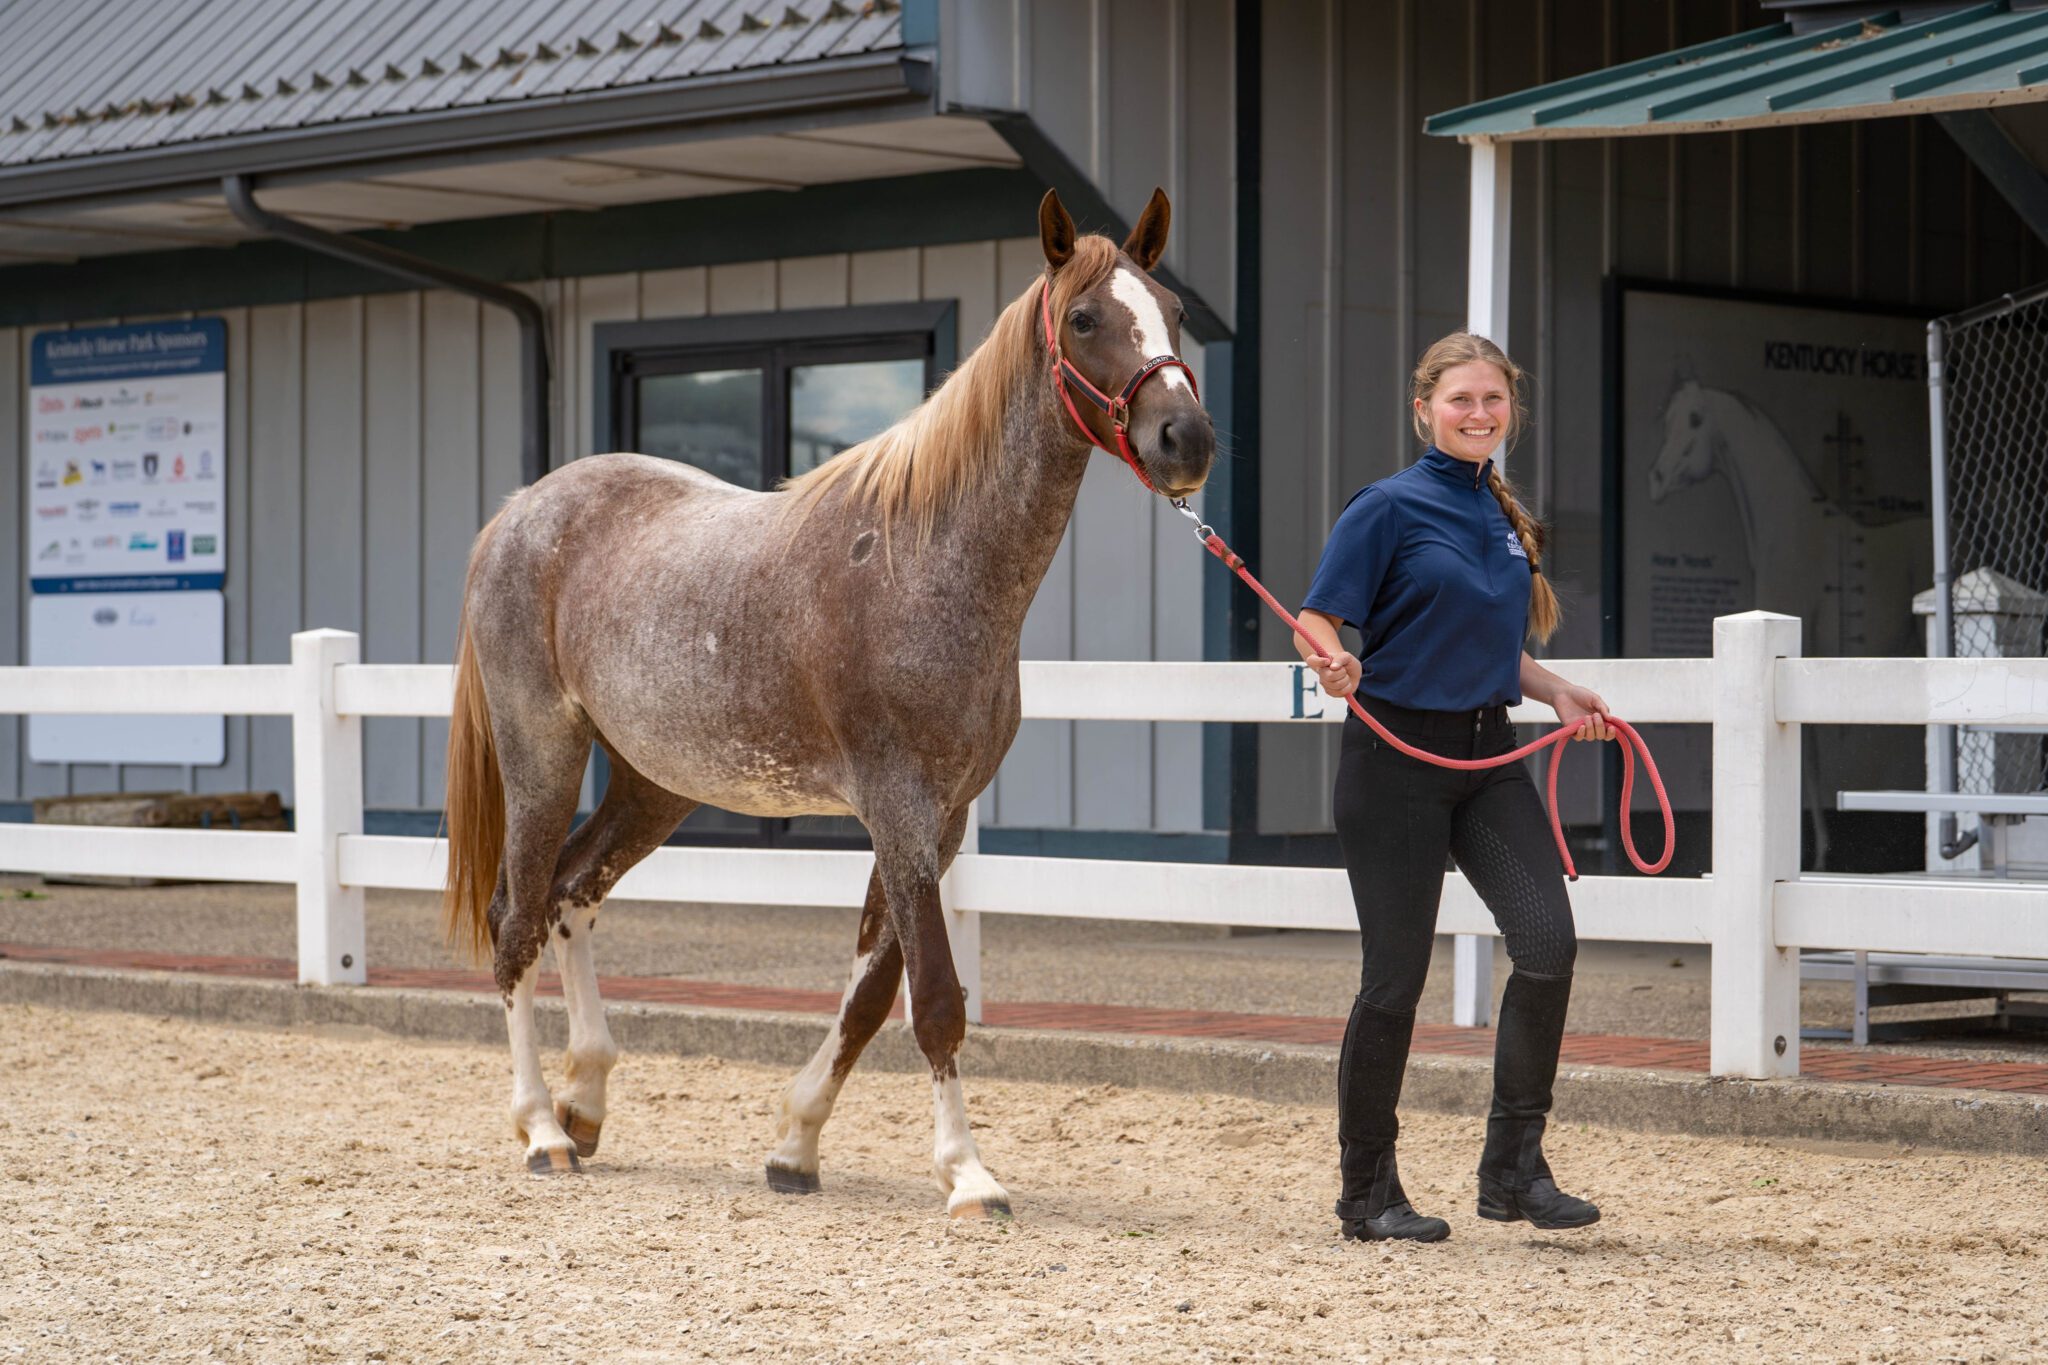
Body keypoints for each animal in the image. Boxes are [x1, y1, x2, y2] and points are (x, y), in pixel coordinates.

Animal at [439, 187, 1215, 1218]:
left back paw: (587, 1100)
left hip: (655, 783)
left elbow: (874, 991)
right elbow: (935, 995)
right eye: (1086, 319)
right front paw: (969, 1173)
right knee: (515, 918)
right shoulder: (897, 807)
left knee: (572, 892)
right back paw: (540, 1129)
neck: (923, 561)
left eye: (1173, 312)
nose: (1187, 440)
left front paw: (797, 1144)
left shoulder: (940, 820)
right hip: (543, 758)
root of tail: (519, 511)